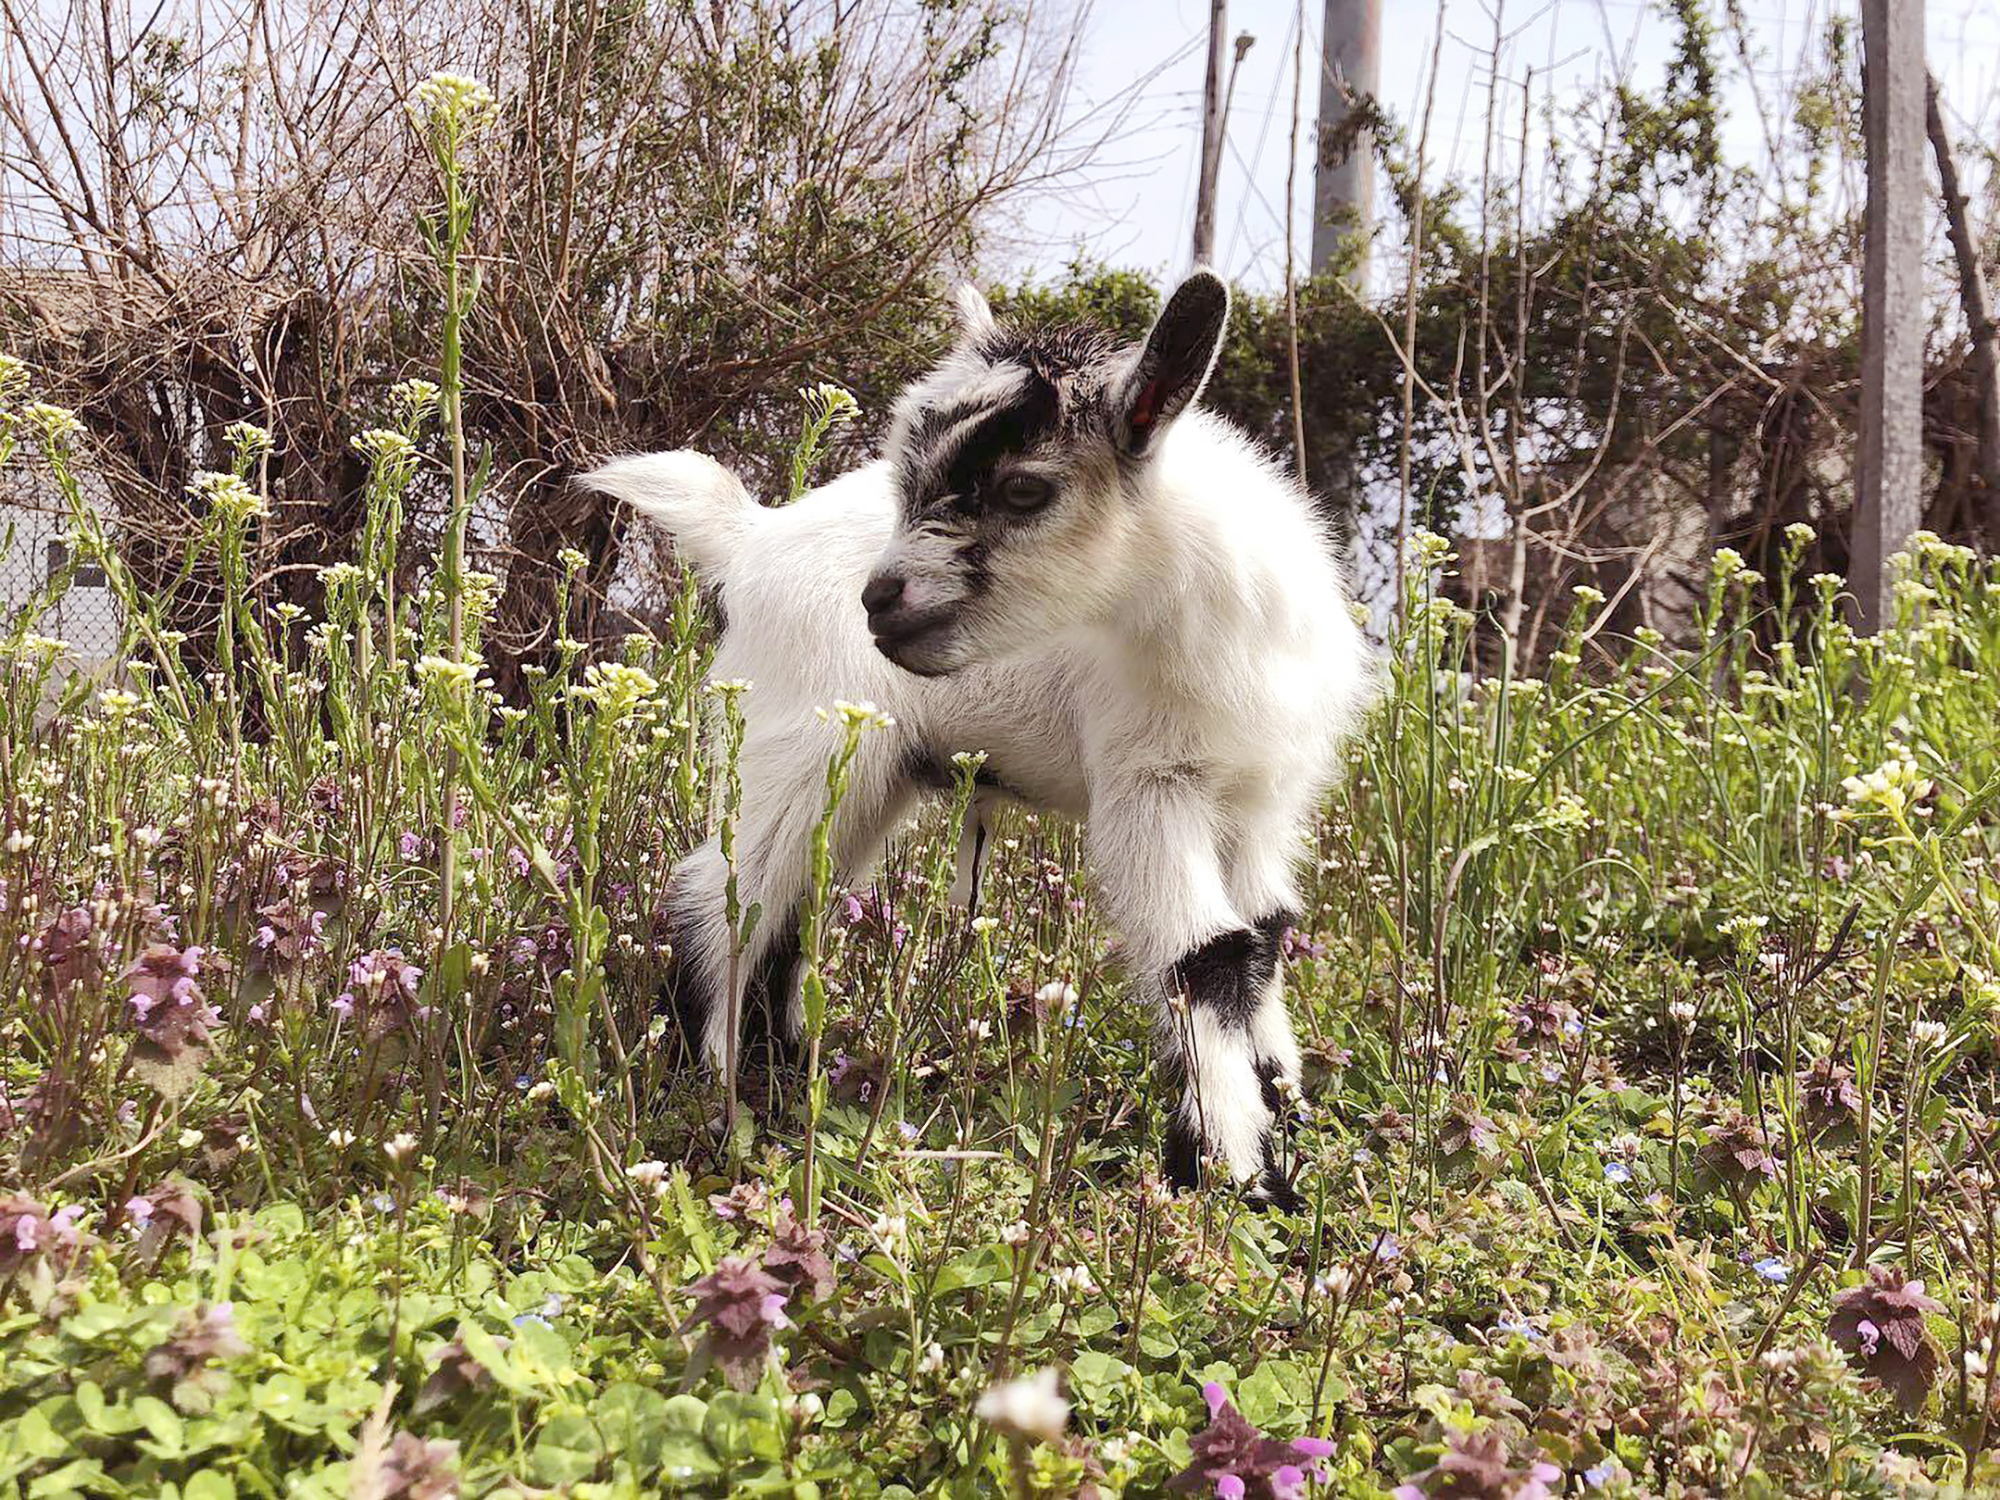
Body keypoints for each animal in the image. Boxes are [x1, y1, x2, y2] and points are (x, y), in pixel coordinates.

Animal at [582, 271, 1376, 1206]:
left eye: (1024, 490)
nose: (880, 599)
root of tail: (753, 538)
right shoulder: (1150, 786)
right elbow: (1205, 957)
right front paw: (1233, 1177)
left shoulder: (1262, 803)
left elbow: (1266, 943)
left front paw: (1285, 1123)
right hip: (800, 736)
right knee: (727, 889)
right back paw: (713, 1088)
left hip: (872, 773)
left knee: (799, 899)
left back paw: (783, 1070)